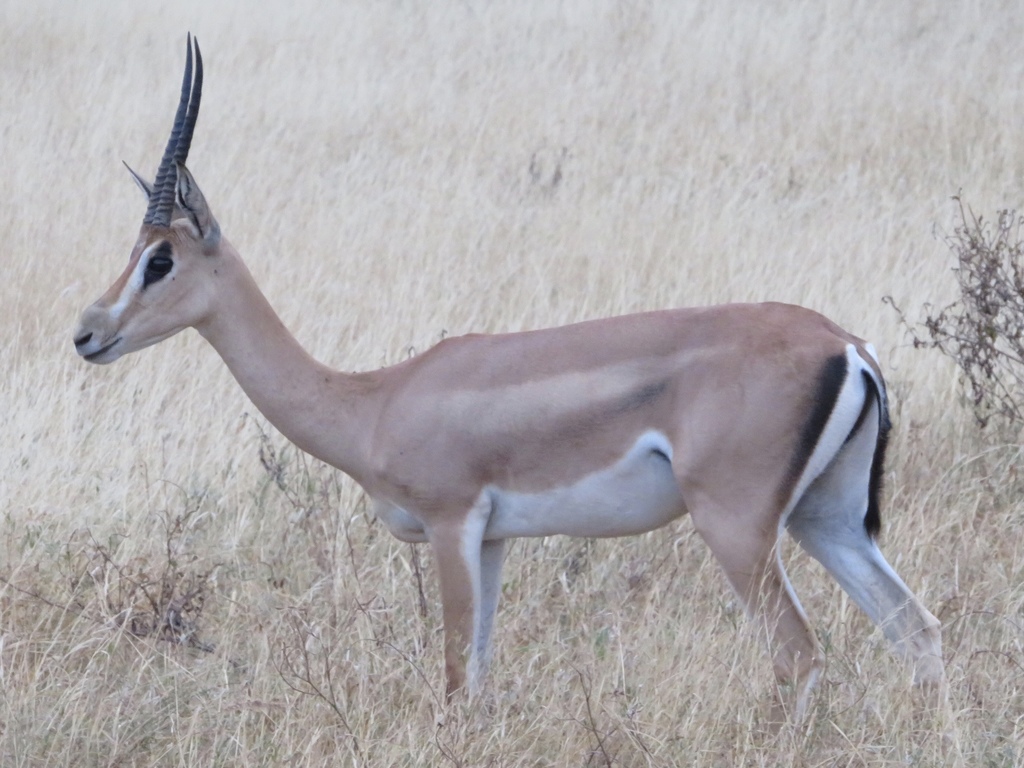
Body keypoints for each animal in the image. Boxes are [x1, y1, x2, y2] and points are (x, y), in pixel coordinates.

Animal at [74, 36, 945, 719]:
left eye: (160, 259)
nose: (87, 334)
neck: (374, 400)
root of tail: (846, 345)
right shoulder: (492, 540)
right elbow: (483, 675)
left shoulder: (453, 523)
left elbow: (458, 678)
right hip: (826, 520)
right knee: (915, 628)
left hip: (736, 526)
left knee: (798, 653)